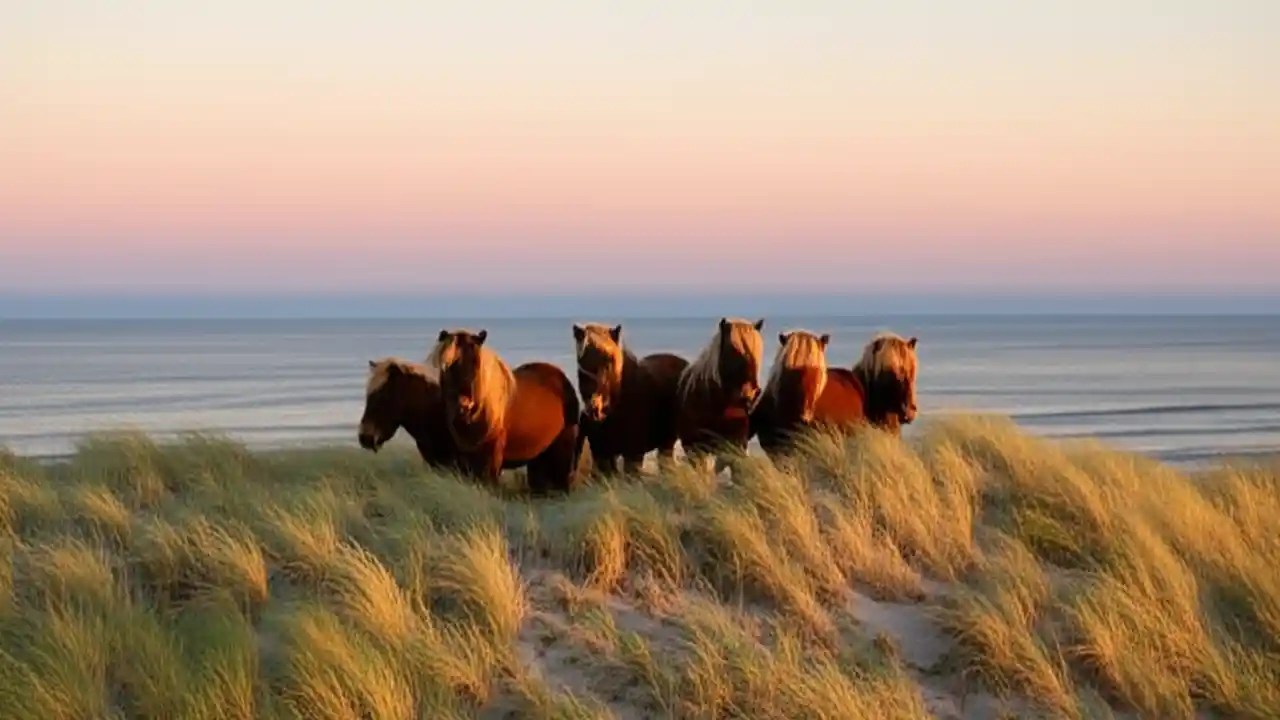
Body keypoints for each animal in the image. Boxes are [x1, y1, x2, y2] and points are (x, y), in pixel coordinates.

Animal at [427, 329, 581, 494]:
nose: (464, 404)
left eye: (476, 362)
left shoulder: (492, 453)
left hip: (564, 445)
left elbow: (489, 481)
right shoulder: (465, 454)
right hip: (540, 454)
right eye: (446, 365)